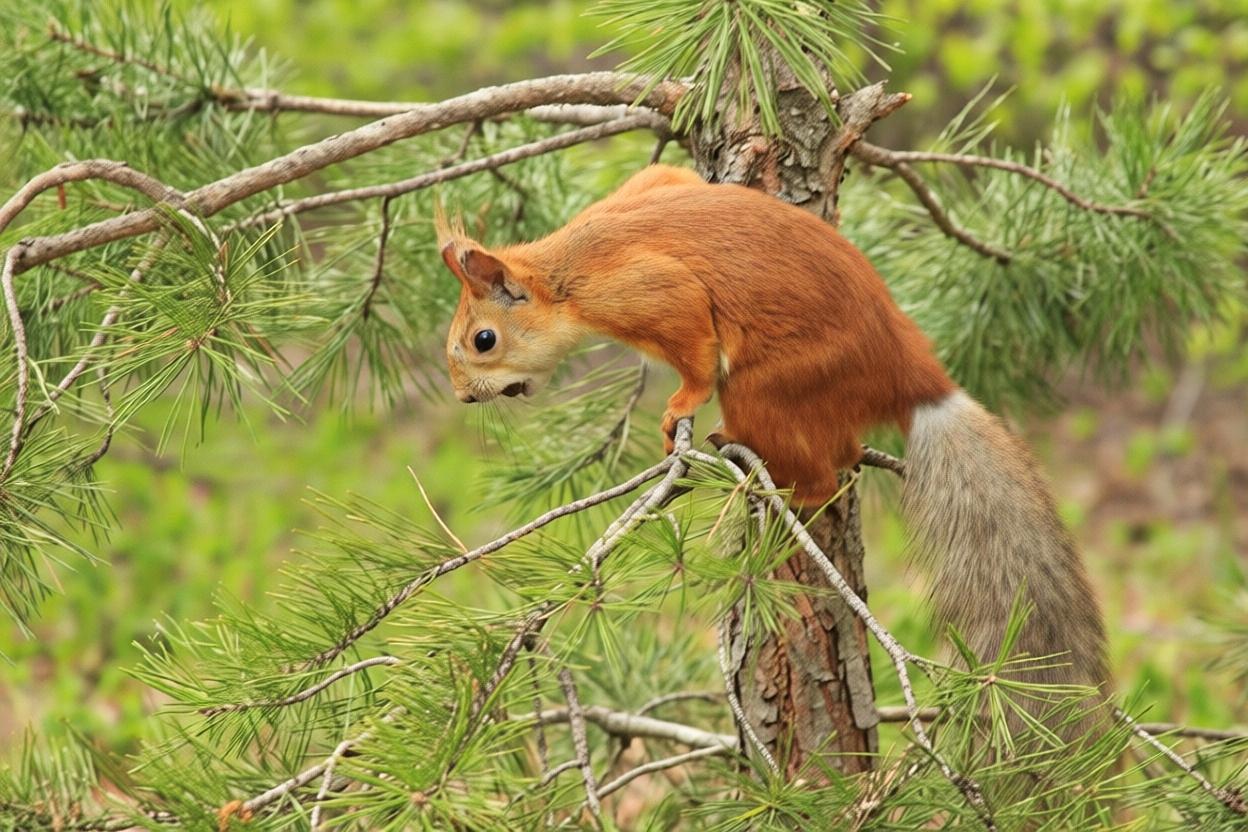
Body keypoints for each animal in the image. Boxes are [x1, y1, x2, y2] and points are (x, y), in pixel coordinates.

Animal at [436, 164, 1111, 737]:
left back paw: (772, 481)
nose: (464, 398)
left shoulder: (646, 290)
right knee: (842, 451)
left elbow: (693, 348)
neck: (565, 272)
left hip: (768, 387)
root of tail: (911, 376)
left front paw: (679, 407)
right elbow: (673, 174)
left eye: (484, 340)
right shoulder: (649, 184)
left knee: (819, 476)